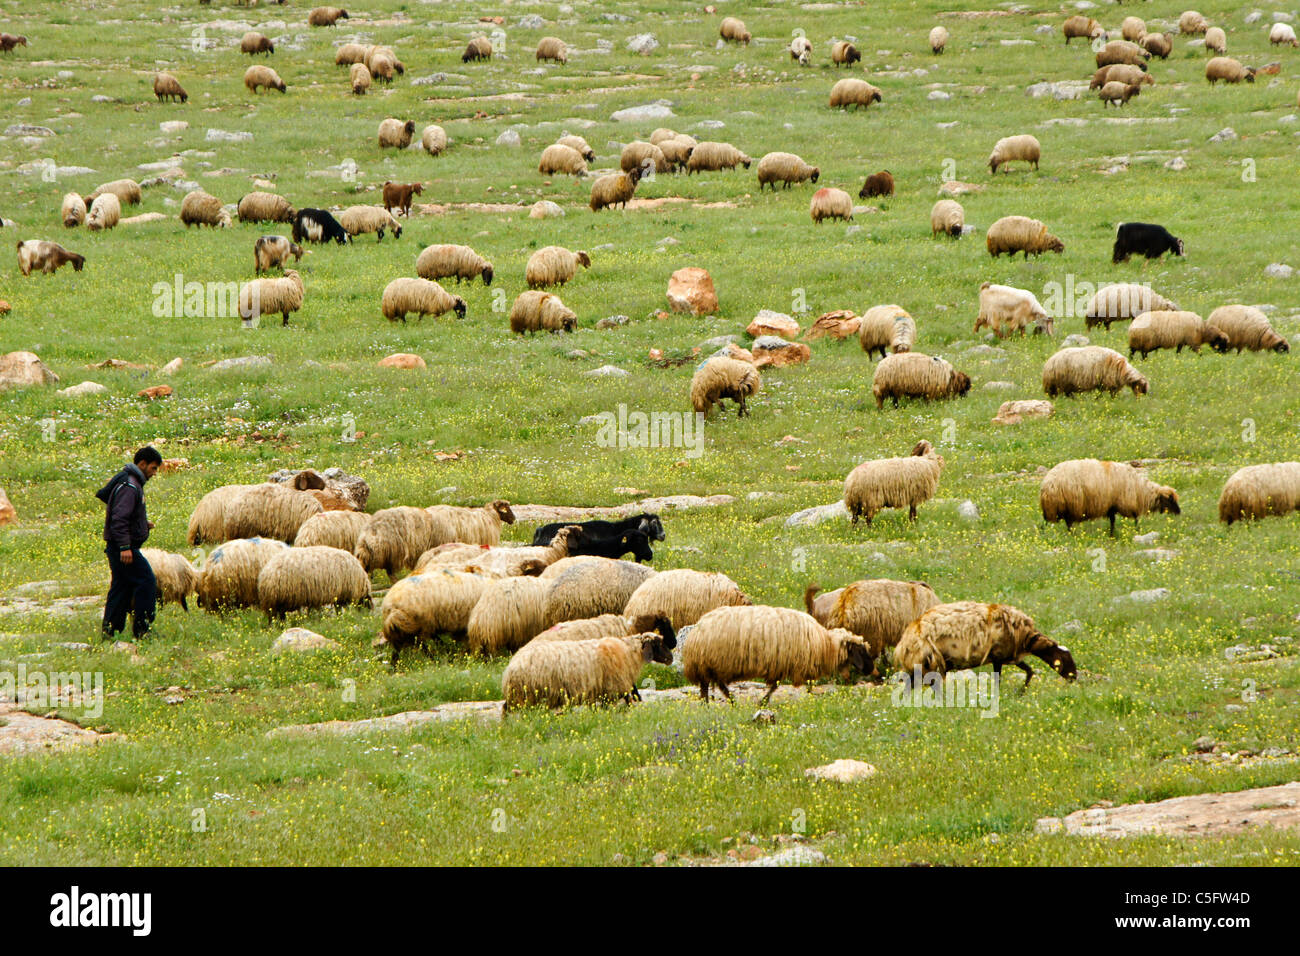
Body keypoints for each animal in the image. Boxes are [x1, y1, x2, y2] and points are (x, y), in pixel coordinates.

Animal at [502, 632, 674, 712]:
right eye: (659, 643)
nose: (671, 658)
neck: (629, 652)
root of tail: (511, 667)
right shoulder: (616, 685)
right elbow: (628, 701)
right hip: (525, 696)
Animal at [683, 606, 873, 704]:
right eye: (862, 651)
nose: (871, 670)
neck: (826, 645)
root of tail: (698, 628)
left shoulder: (781, 665)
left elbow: (777, 685)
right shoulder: (791, 664)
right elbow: (780, 686)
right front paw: (764, 701)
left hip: (712, 665)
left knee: (714, 686)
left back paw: (723, 702)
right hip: (710, 663)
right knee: (709, 686)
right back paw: (715, 703)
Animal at [894, 602, 1076, 687]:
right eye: (1065, 658)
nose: (1075, 678)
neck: (1026, 638)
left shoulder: (1010, 657)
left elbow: (1029, 671)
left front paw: (1022, 691)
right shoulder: (998, 657)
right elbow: (998, 680)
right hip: (928, 663)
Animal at [1040, 459, 1180, 534]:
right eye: (1171, 500)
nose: (1179, 512)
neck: (1140, 490)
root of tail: (1047, 484)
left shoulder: (1112, 506)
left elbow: (1113, 521)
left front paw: (1112, 534)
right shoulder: (1126, 503)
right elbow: (1135, 518)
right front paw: (1137, 530)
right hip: (1068, 505)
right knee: (1066, 524)